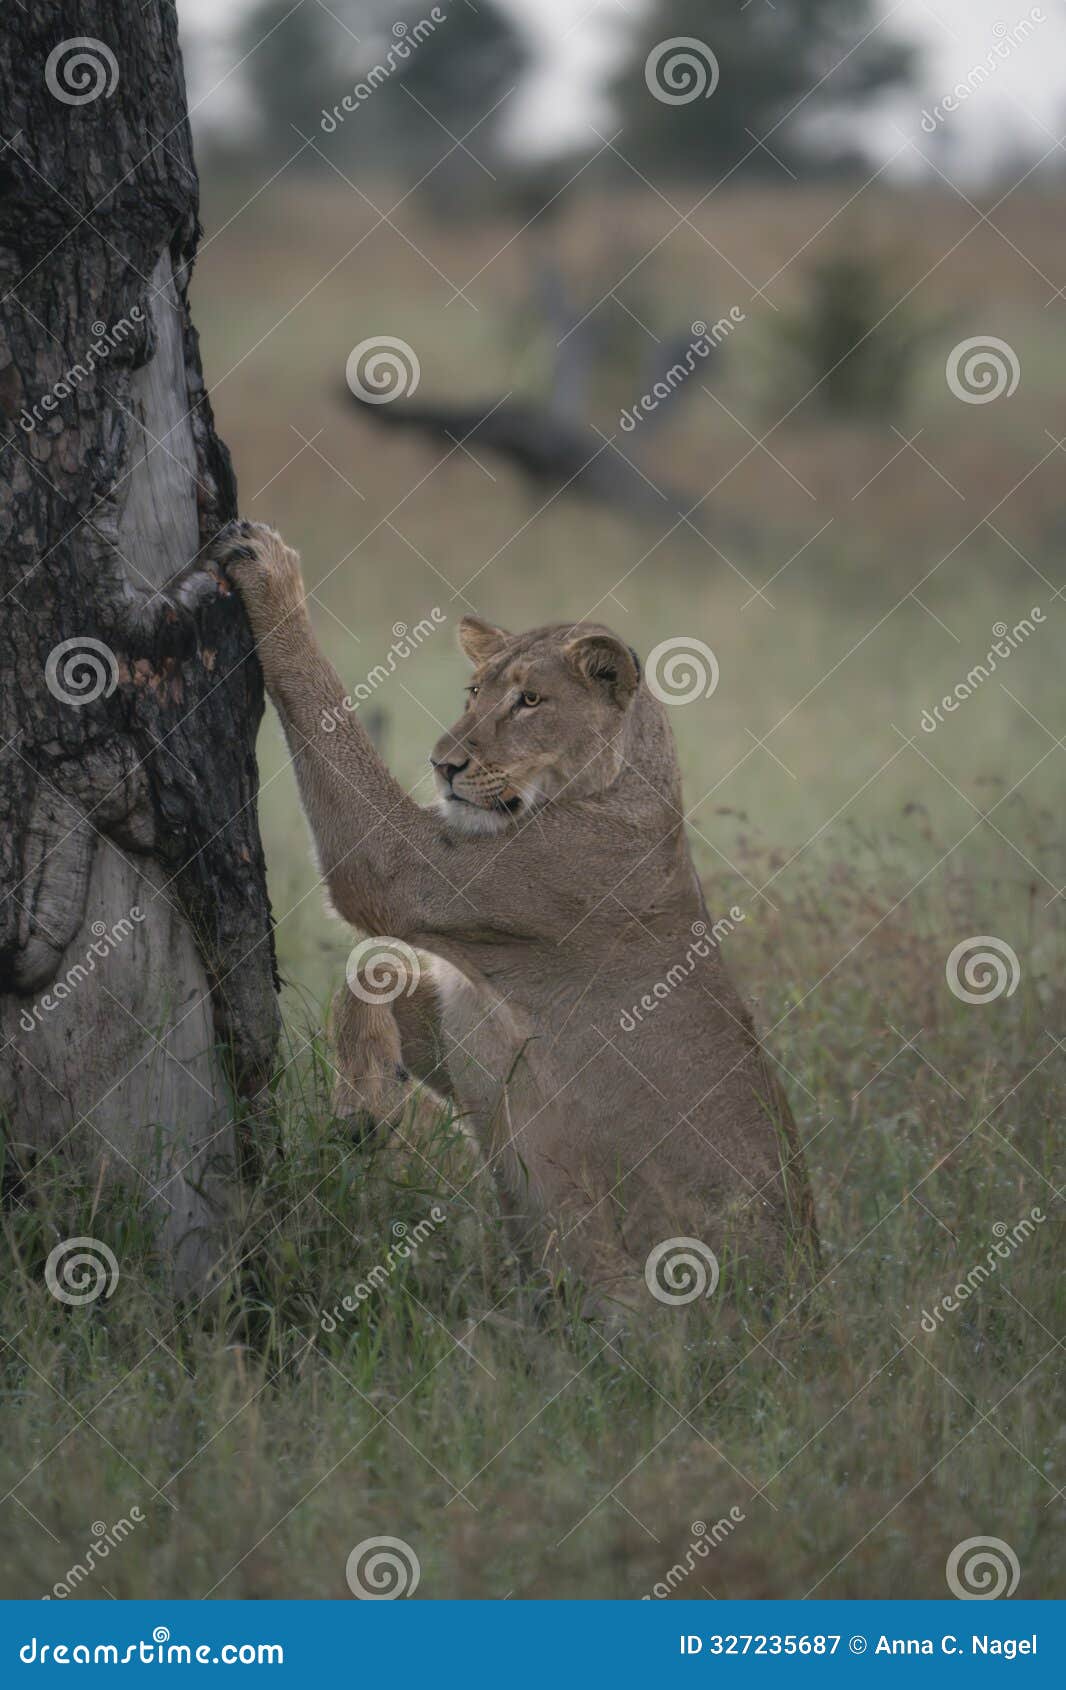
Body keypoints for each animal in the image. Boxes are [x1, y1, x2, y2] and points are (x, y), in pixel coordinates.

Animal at [213, 521, 819, 1317]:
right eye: (474, 691)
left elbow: (337, 749)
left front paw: (269, 571)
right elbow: (372, 965)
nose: (442, 765)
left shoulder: (414, 876)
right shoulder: (470, 1041)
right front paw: (367, 1103)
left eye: (530, 701)